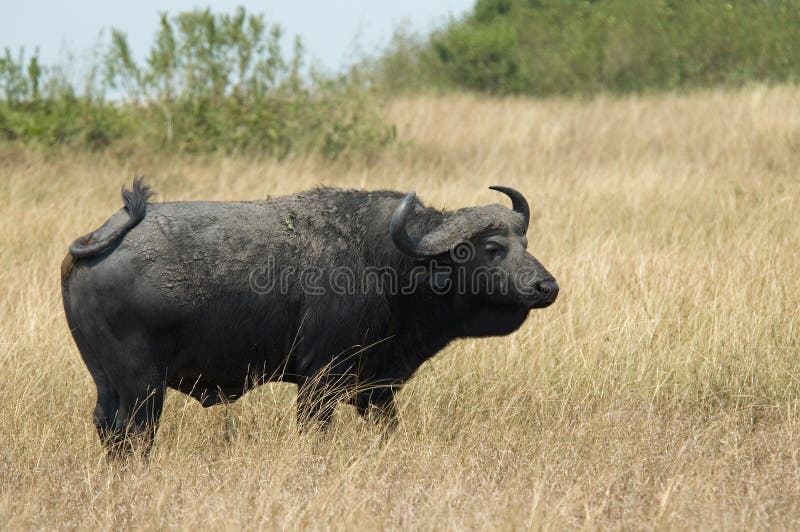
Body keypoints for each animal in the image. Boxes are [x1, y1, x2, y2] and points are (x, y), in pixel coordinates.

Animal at [61, 179, 558, 453]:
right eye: (491, 248)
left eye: (524, 243)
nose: (546, 287)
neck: (389, 265)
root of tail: (101, 237)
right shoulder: (320, 380)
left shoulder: (376, 389)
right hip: (142, 385)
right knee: (132, 434)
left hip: (107, 383)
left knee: (107, 428)